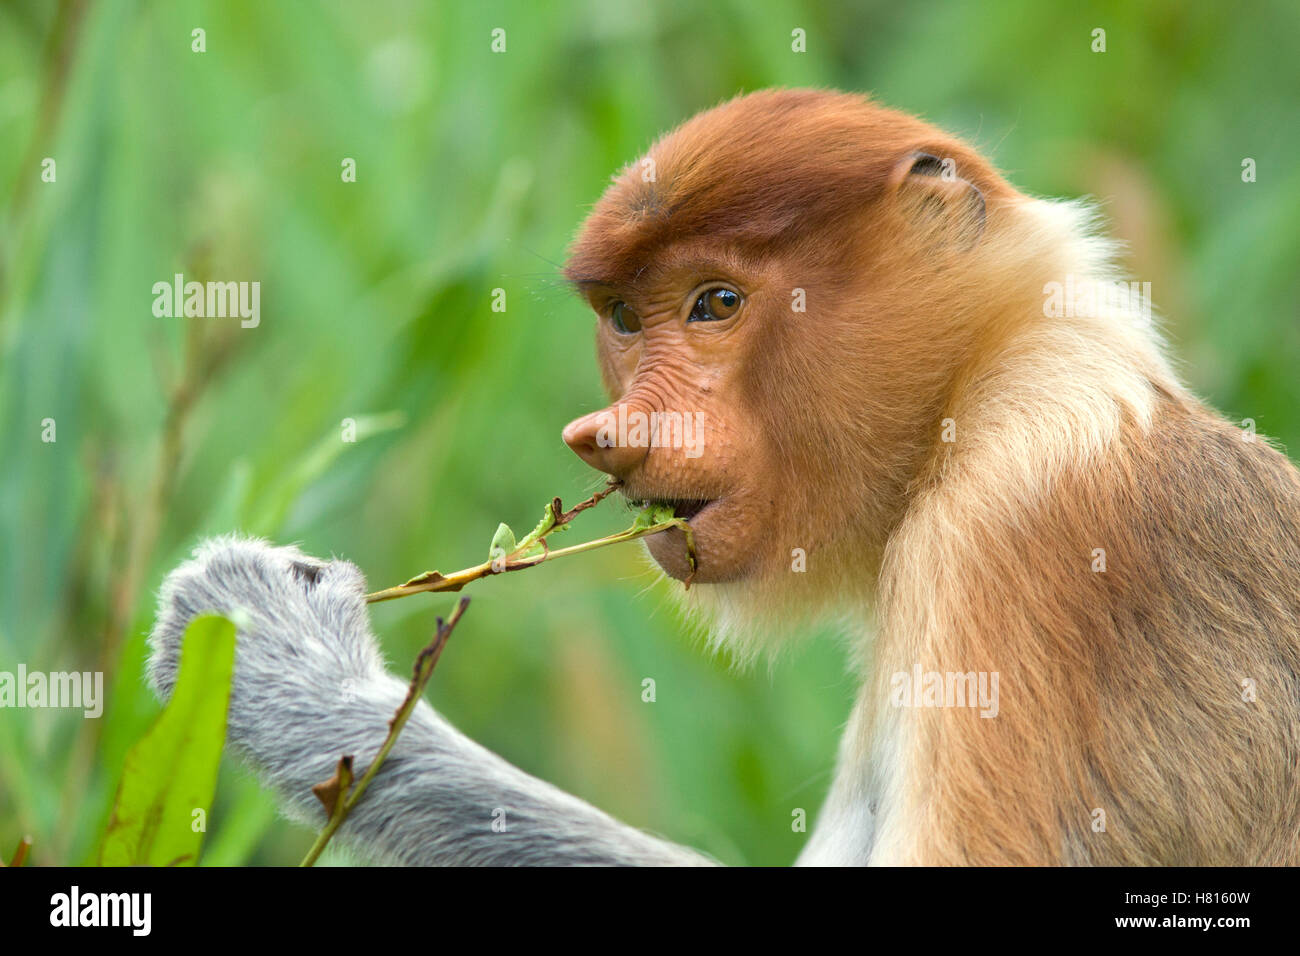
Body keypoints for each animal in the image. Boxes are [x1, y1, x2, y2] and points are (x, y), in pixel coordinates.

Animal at [149, 89, 1300, 865]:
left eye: (715, 303)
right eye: (623, 315)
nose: (610, 434)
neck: (975, 388)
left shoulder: (1021, 528)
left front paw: (275, 657)